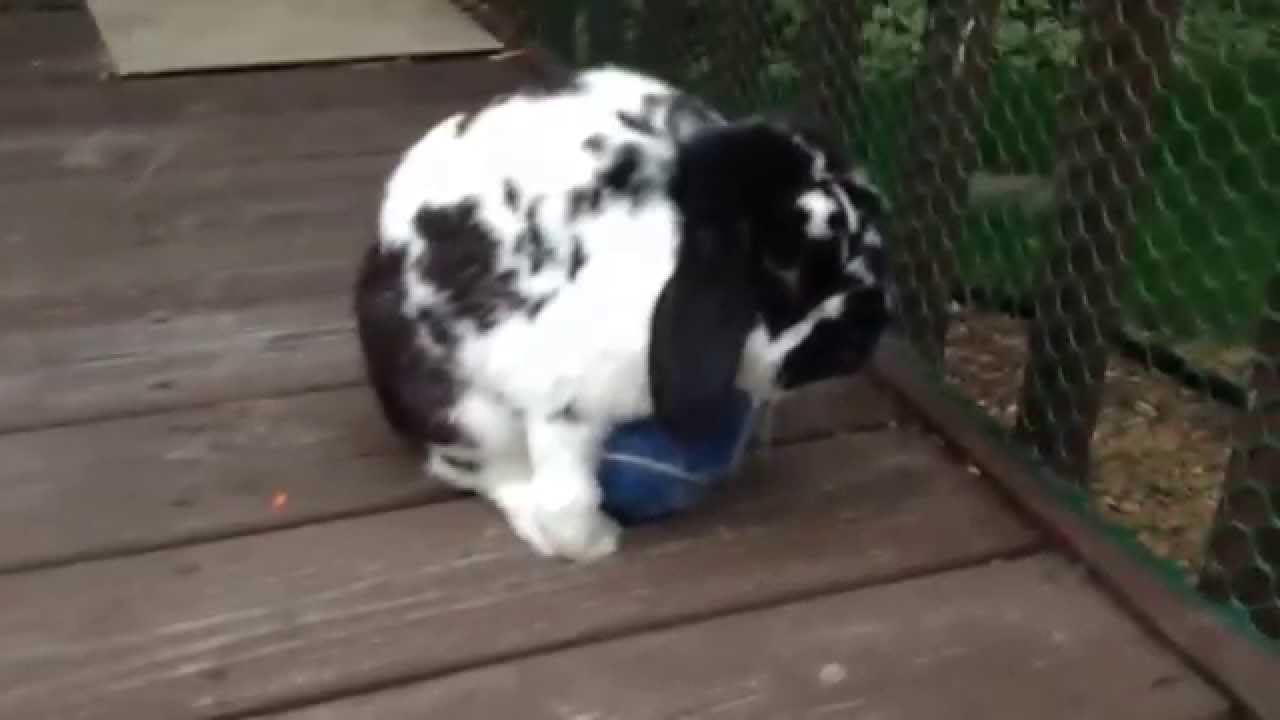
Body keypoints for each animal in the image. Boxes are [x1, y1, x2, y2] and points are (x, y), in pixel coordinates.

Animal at [354, 65, 892, 562]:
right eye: (788, 267)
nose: (870, 331)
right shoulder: (562, 398)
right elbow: (567, 496)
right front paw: (594, 544)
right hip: (464, 408)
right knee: (474, 465)